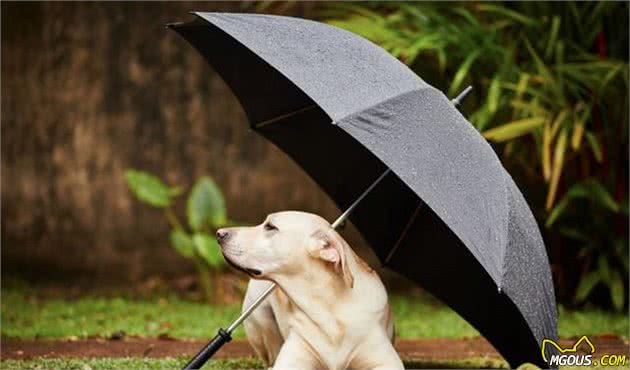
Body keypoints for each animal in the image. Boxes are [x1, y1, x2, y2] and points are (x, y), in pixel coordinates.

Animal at [217, 211, 404, 370]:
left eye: (270, 227)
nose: (219, 233)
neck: (329, 311)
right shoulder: (290, 361)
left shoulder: (386, 363)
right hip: (259, 319)